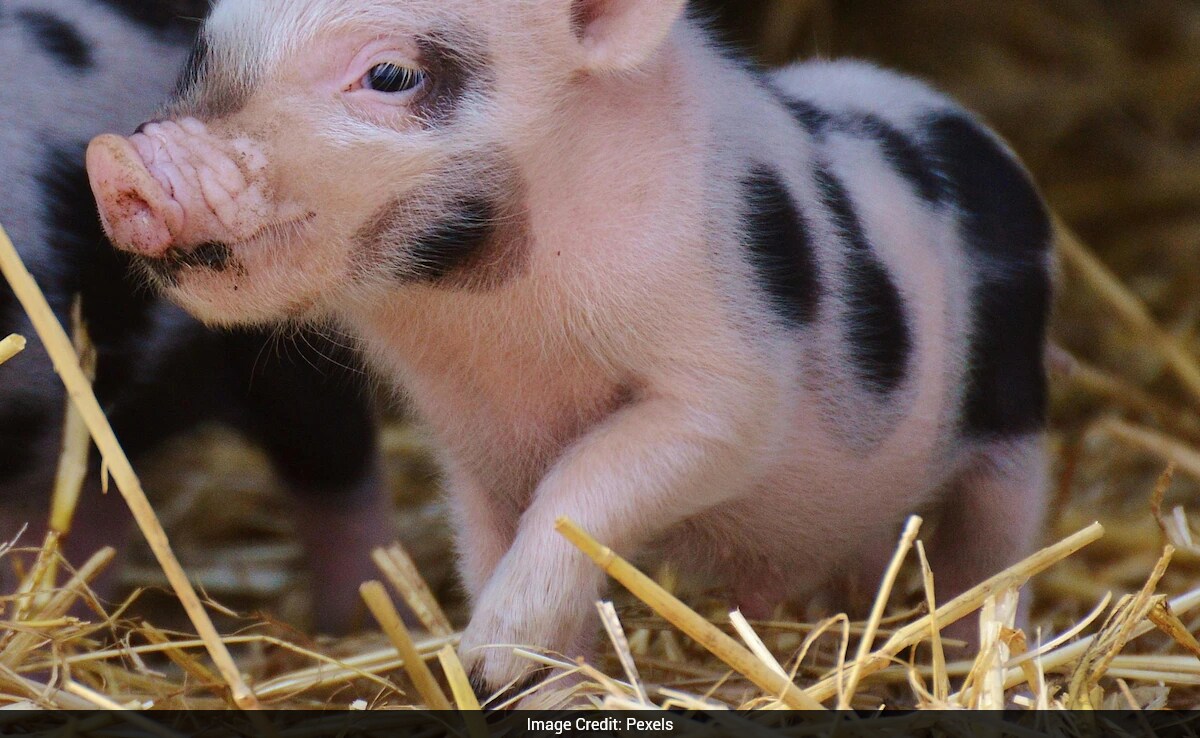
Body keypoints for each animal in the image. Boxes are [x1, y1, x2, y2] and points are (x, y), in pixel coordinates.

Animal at [87, 0, 1053, 695]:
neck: (493, 328)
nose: (120, 167)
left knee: (993, 550)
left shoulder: (724, 384)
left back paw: (974, 659)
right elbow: (489, 539)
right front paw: (514, 683)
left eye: (391, 73)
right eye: (201, 55)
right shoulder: (464, 436)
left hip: (1014, 417)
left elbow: (585, 486)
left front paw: (488, 654)